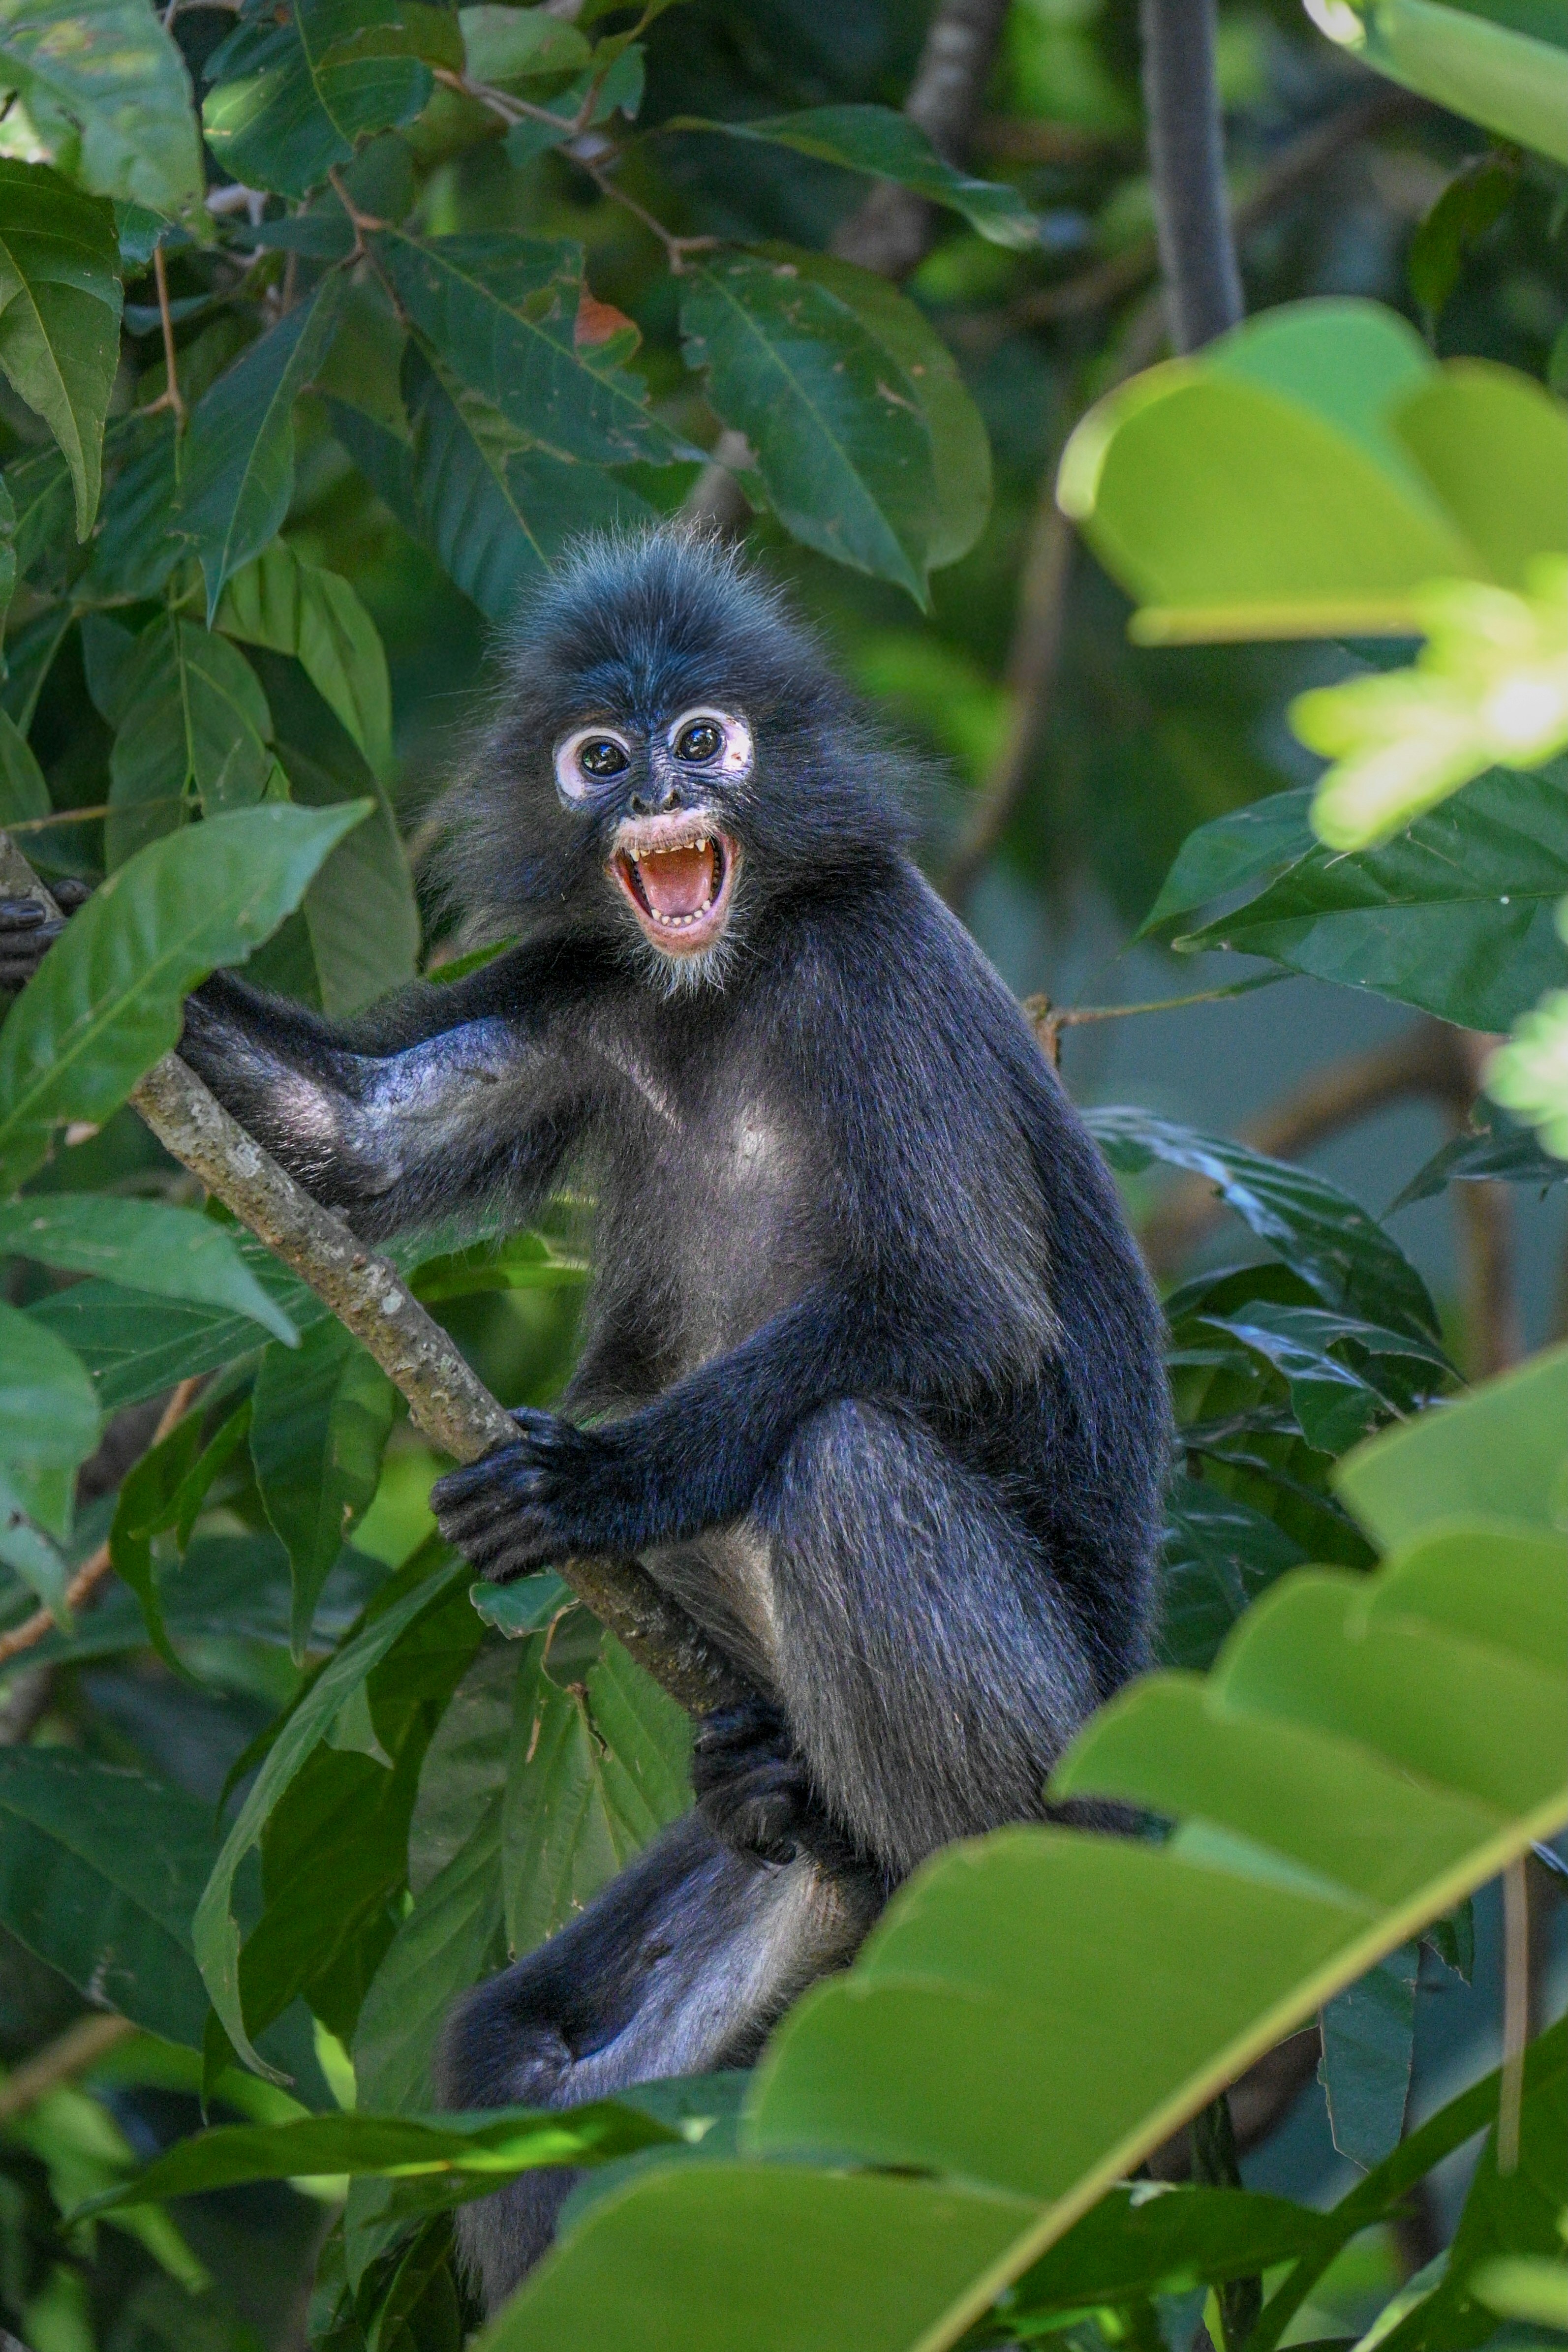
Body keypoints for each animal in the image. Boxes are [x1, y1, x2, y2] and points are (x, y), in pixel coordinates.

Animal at [0, 529, 1170, 2312]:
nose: (656, 803)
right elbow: (351, 1144)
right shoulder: (584, 990)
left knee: (842, 1451)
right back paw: (769, 1793)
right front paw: (40, 928)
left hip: (1062, 1748)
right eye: (599, 759)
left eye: (703, 740)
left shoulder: (874, 964)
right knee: (514, 2051)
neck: (716, 986)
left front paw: (607, 1482)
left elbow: (964, 1313)